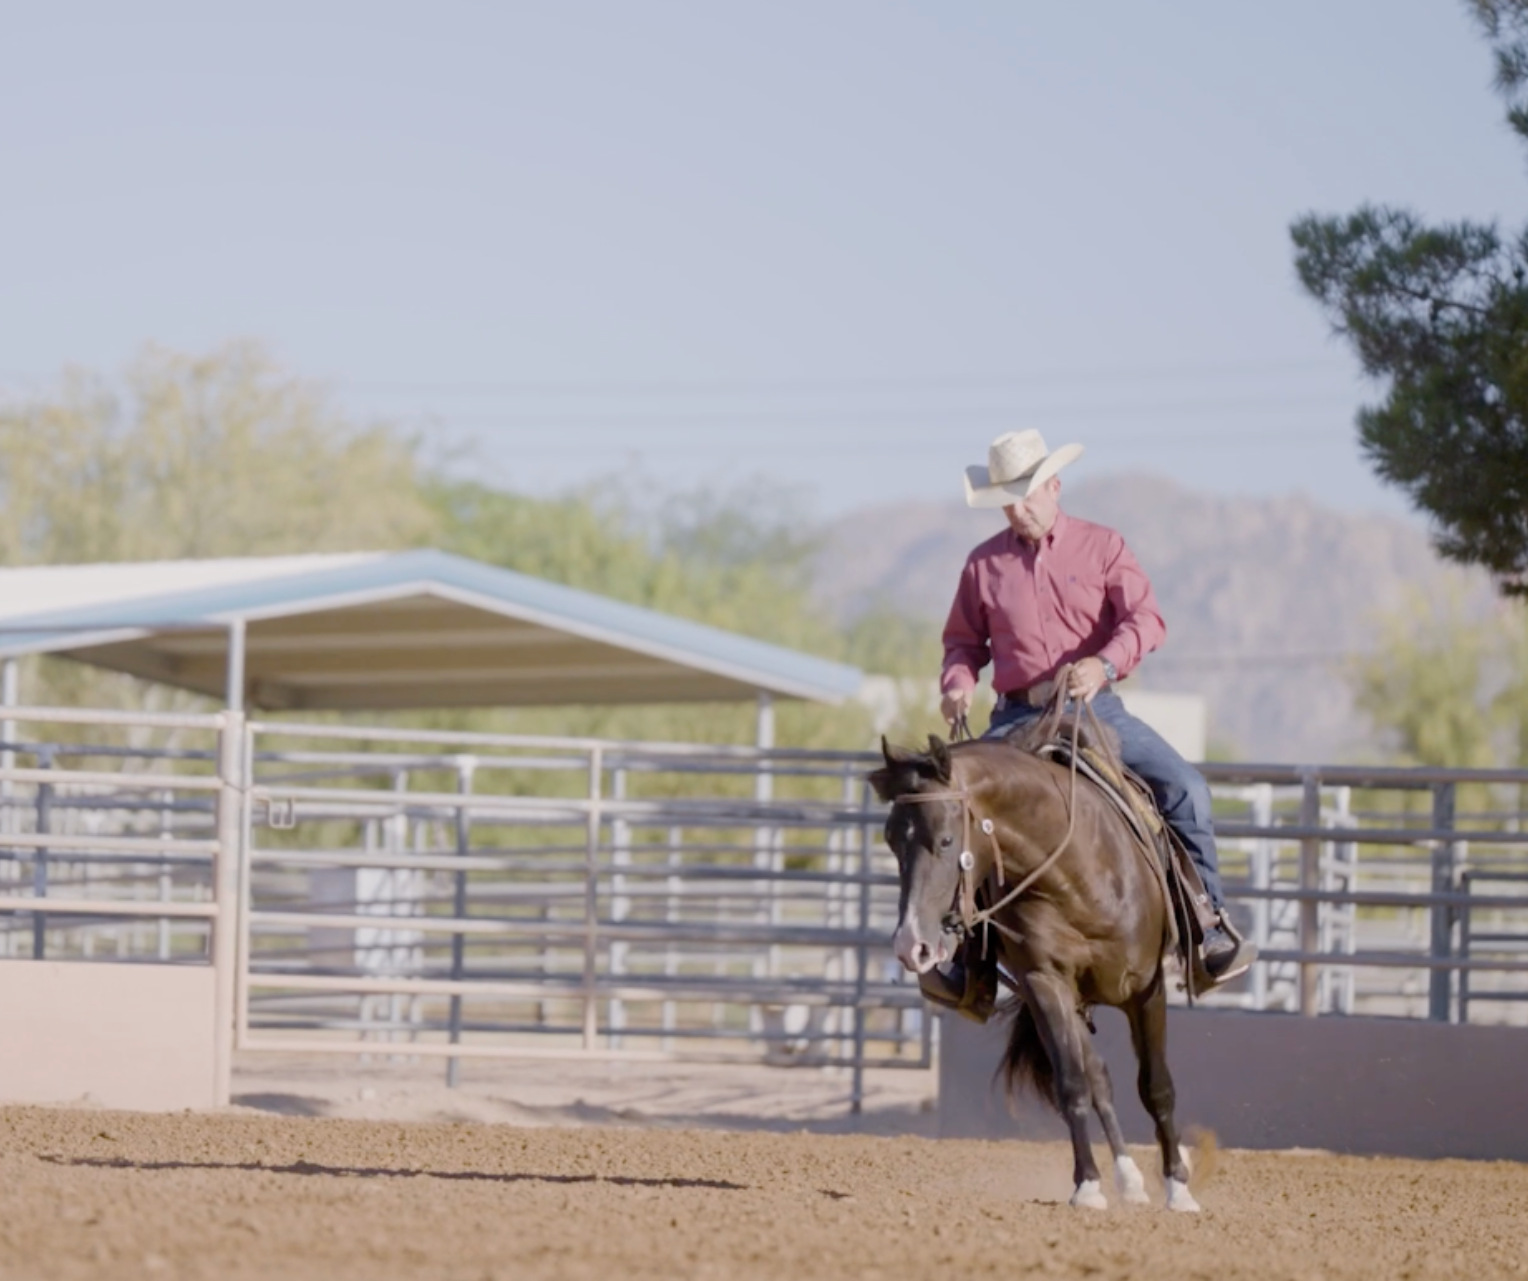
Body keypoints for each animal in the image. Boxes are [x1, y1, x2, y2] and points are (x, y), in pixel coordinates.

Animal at [868, 728, 1201, 1212]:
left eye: (945, 840)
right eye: (892, 840)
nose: (912, 945)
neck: (1079, 873)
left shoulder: (1147, 989)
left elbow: (1157, 1086)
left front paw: (1179, 1187)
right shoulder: (1045, 984)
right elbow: (1073, 1084)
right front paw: (1088, 1185)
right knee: (1097, 1077)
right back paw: (1128, 1179)